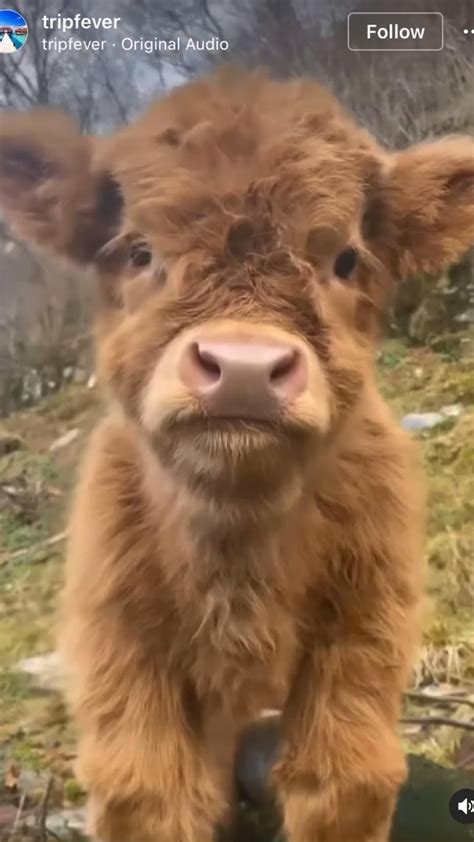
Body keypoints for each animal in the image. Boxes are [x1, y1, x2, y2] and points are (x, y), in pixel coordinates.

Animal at [0, 70, 473, 842]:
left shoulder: (364, 629)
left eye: (344, 258)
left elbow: (342, 784)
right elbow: (150, 796)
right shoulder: (121, 645)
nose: (244, 368)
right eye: (139, 251)